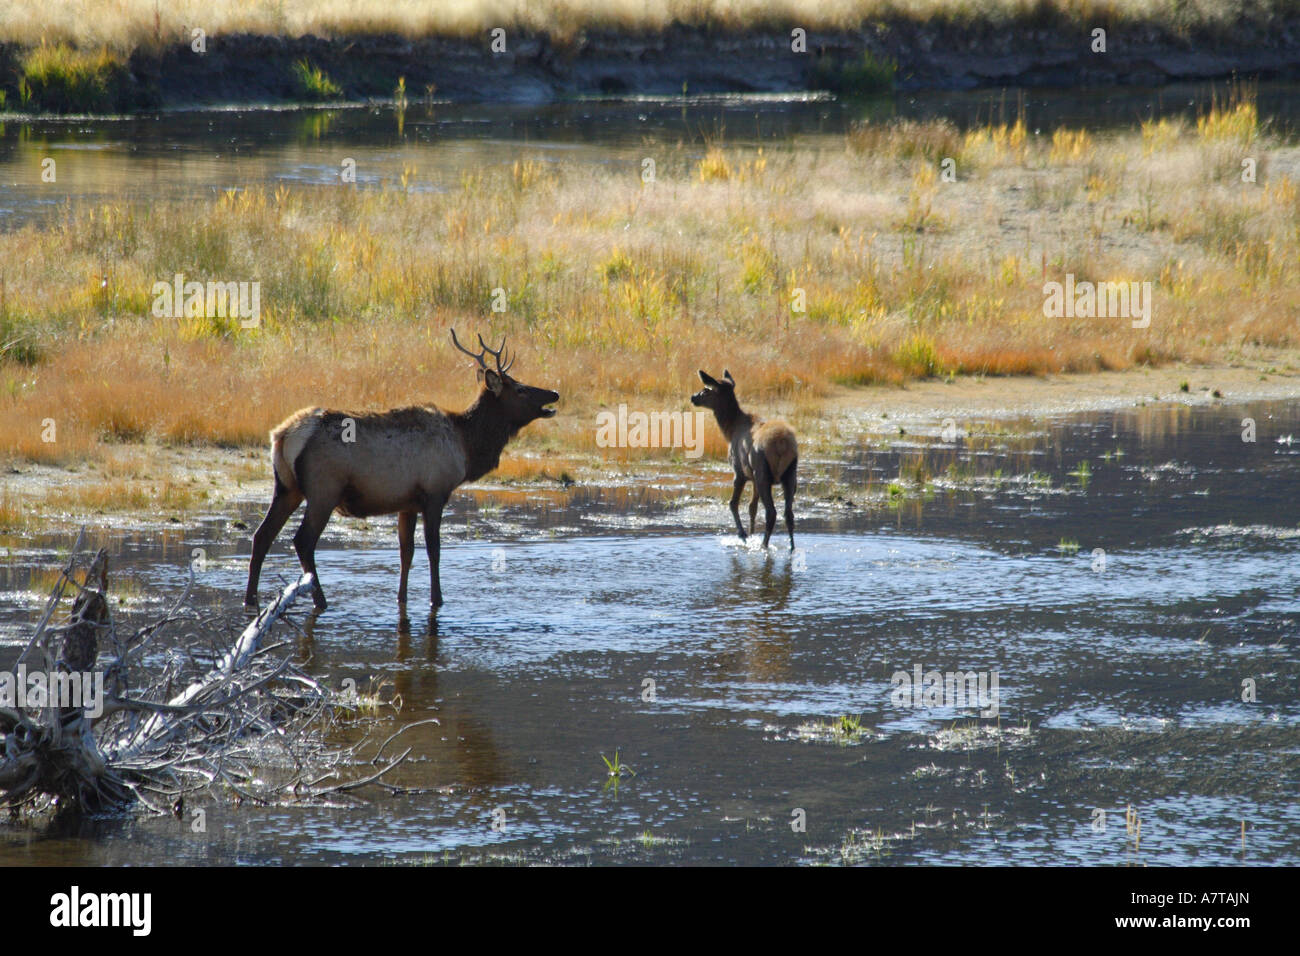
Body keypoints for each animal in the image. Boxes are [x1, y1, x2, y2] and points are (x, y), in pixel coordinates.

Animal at [243, 330, 559, 612]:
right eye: (520, 389)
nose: (554, 393)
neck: (467, 447)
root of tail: (282, 436)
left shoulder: (407, 503)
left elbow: (406, 552)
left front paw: (401, 598)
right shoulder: (435, 492)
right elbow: (434, 549)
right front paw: (437, 599)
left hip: (286, 487)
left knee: (262, 536)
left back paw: (251, 601)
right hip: (324, 490)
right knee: (302, 541)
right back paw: (320, 600)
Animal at [691, 370, 798, 550]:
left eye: (706, 389)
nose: (693, 397)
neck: (730, 431)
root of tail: (781, 445)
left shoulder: (739, 472)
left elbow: (733, 503)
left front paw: (743, 535)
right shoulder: (752, 478)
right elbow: (752, 507)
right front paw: (752, 533)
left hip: (762, 471)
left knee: (771, 512)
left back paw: (764, 545)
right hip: (790, 472)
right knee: (788, 513)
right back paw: (791, 548)